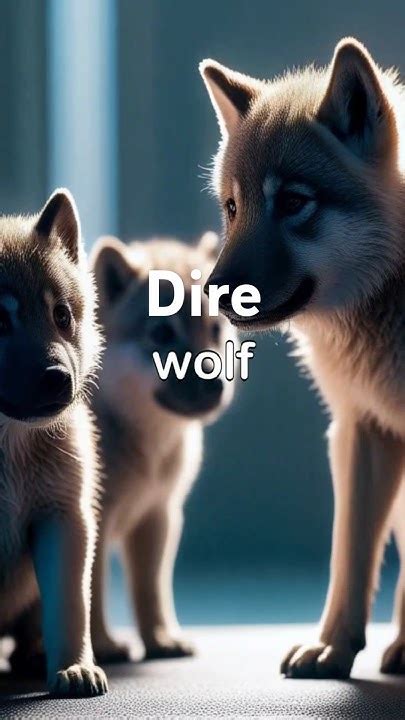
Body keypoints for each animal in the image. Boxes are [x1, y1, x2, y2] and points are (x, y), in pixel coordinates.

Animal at [90, 233, 235, 662]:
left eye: (216, 329)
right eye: (163, 334)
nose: (215, 385)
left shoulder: (157, 518)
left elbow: (150, 588)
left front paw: (159, 639)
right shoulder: (94, 521)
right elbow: (91, 593)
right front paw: (101, 646)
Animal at [200, 37, 405, 678]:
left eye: (293, 202)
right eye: (233, 207)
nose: (213, 292)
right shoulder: (360, 434)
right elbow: (349, 557)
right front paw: (334, 648)